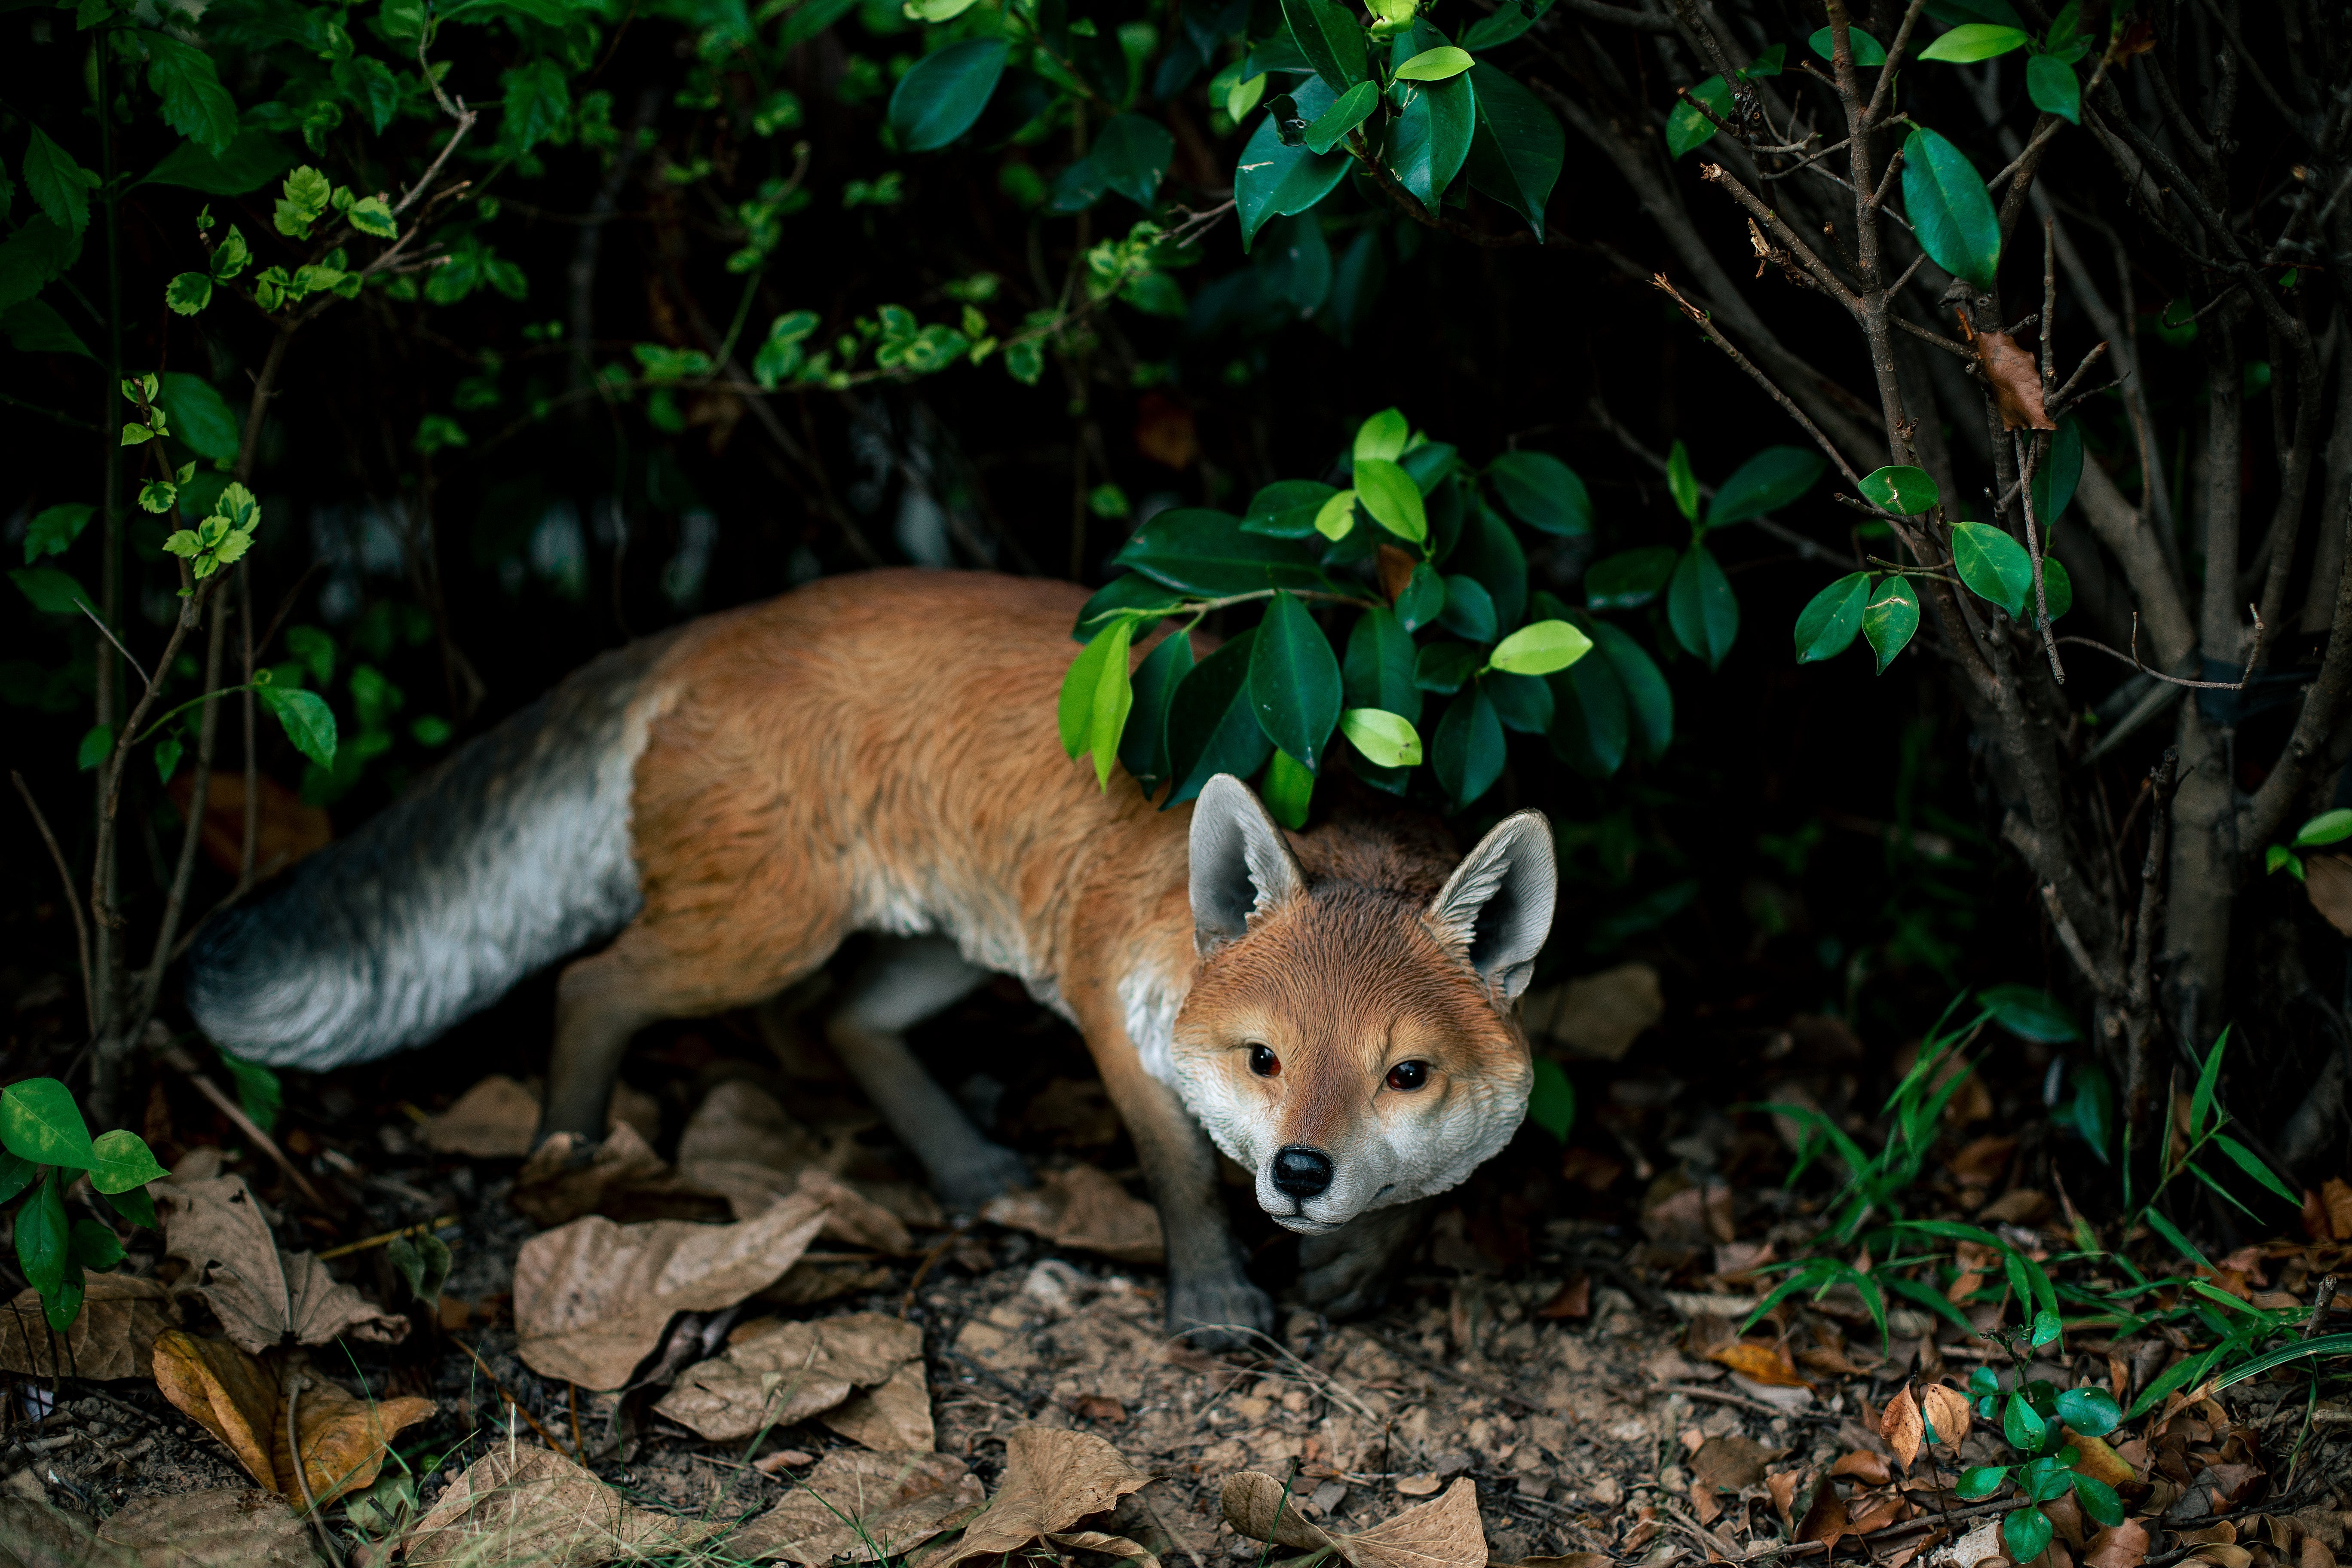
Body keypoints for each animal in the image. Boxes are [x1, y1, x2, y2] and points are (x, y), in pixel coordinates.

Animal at [187, 570, 1556, 1339]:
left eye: (1405, 1076)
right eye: (1263, 1058)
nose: (1302, 1172)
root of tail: (713, 626)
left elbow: (1445, 1189)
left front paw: (1359, 1263)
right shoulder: (1114, 1009)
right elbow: (1178, 1176)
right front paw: (1215, 1304)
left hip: (941, 942)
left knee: (842, 1023)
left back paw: (964, 1167)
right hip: (760, 930)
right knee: (596, 985)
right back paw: (568, 1160)